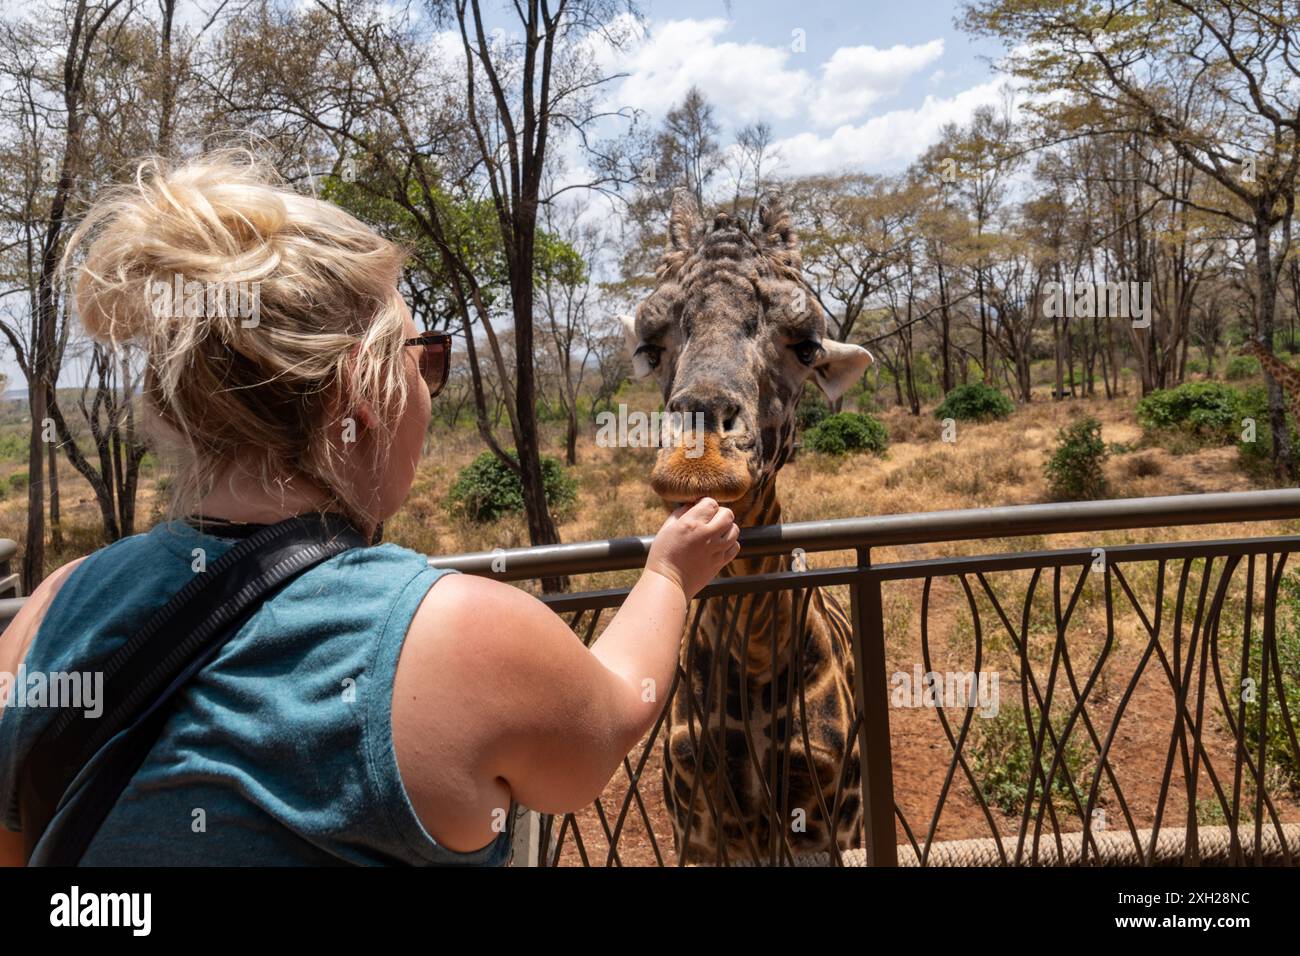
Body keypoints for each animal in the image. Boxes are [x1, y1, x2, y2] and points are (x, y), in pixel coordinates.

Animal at [620, 188, 875, 865]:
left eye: (806, 346)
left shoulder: (832, 819)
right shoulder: (695, 824)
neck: (758, 657)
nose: (700, 455)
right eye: (651, 348)